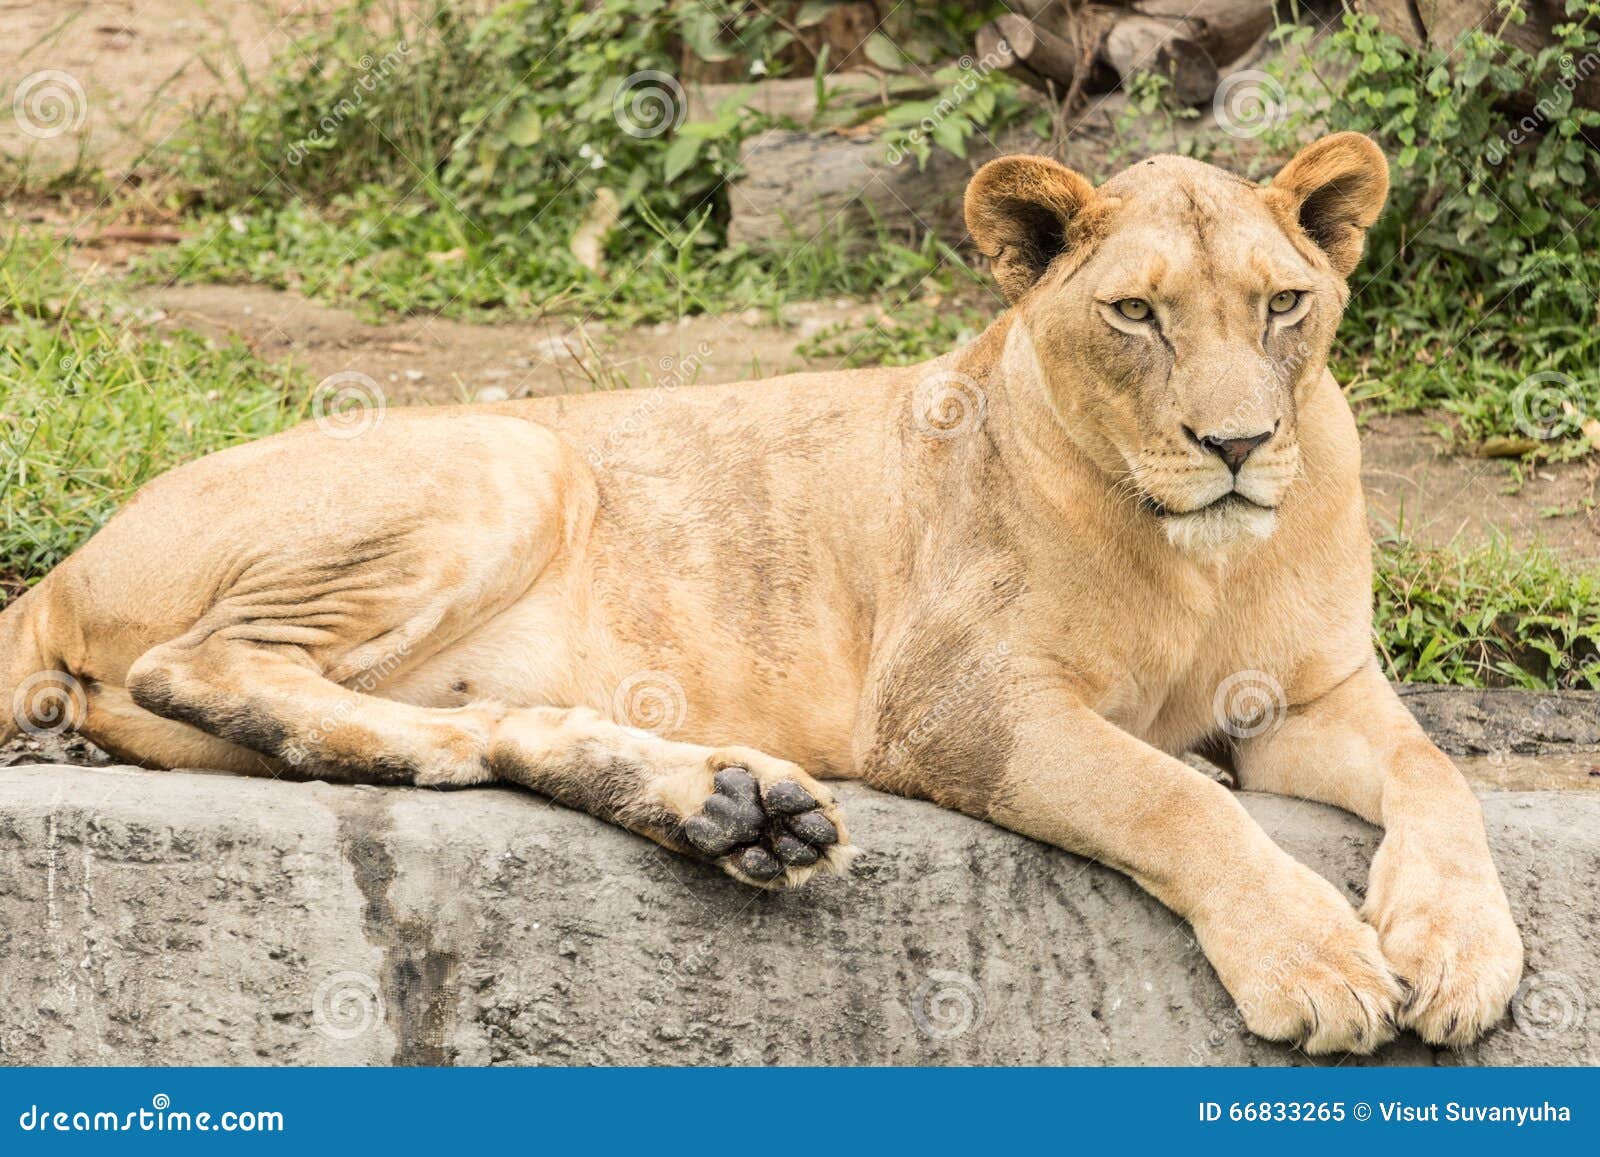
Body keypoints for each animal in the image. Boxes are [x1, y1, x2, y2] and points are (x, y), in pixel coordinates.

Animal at [0, 133, 1522, 1055]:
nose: (1238, 444)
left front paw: (1458, 953)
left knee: (456, 723)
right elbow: (1161, 796)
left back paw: (734, 805)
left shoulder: (1312, 694)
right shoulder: (957, 703)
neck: (1199, 563)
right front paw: (1318, 962)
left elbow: (1438, 776)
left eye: (1282, 304)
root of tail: (59, 572)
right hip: (512, 450)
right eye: (1135, 313)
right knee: (209, 666)